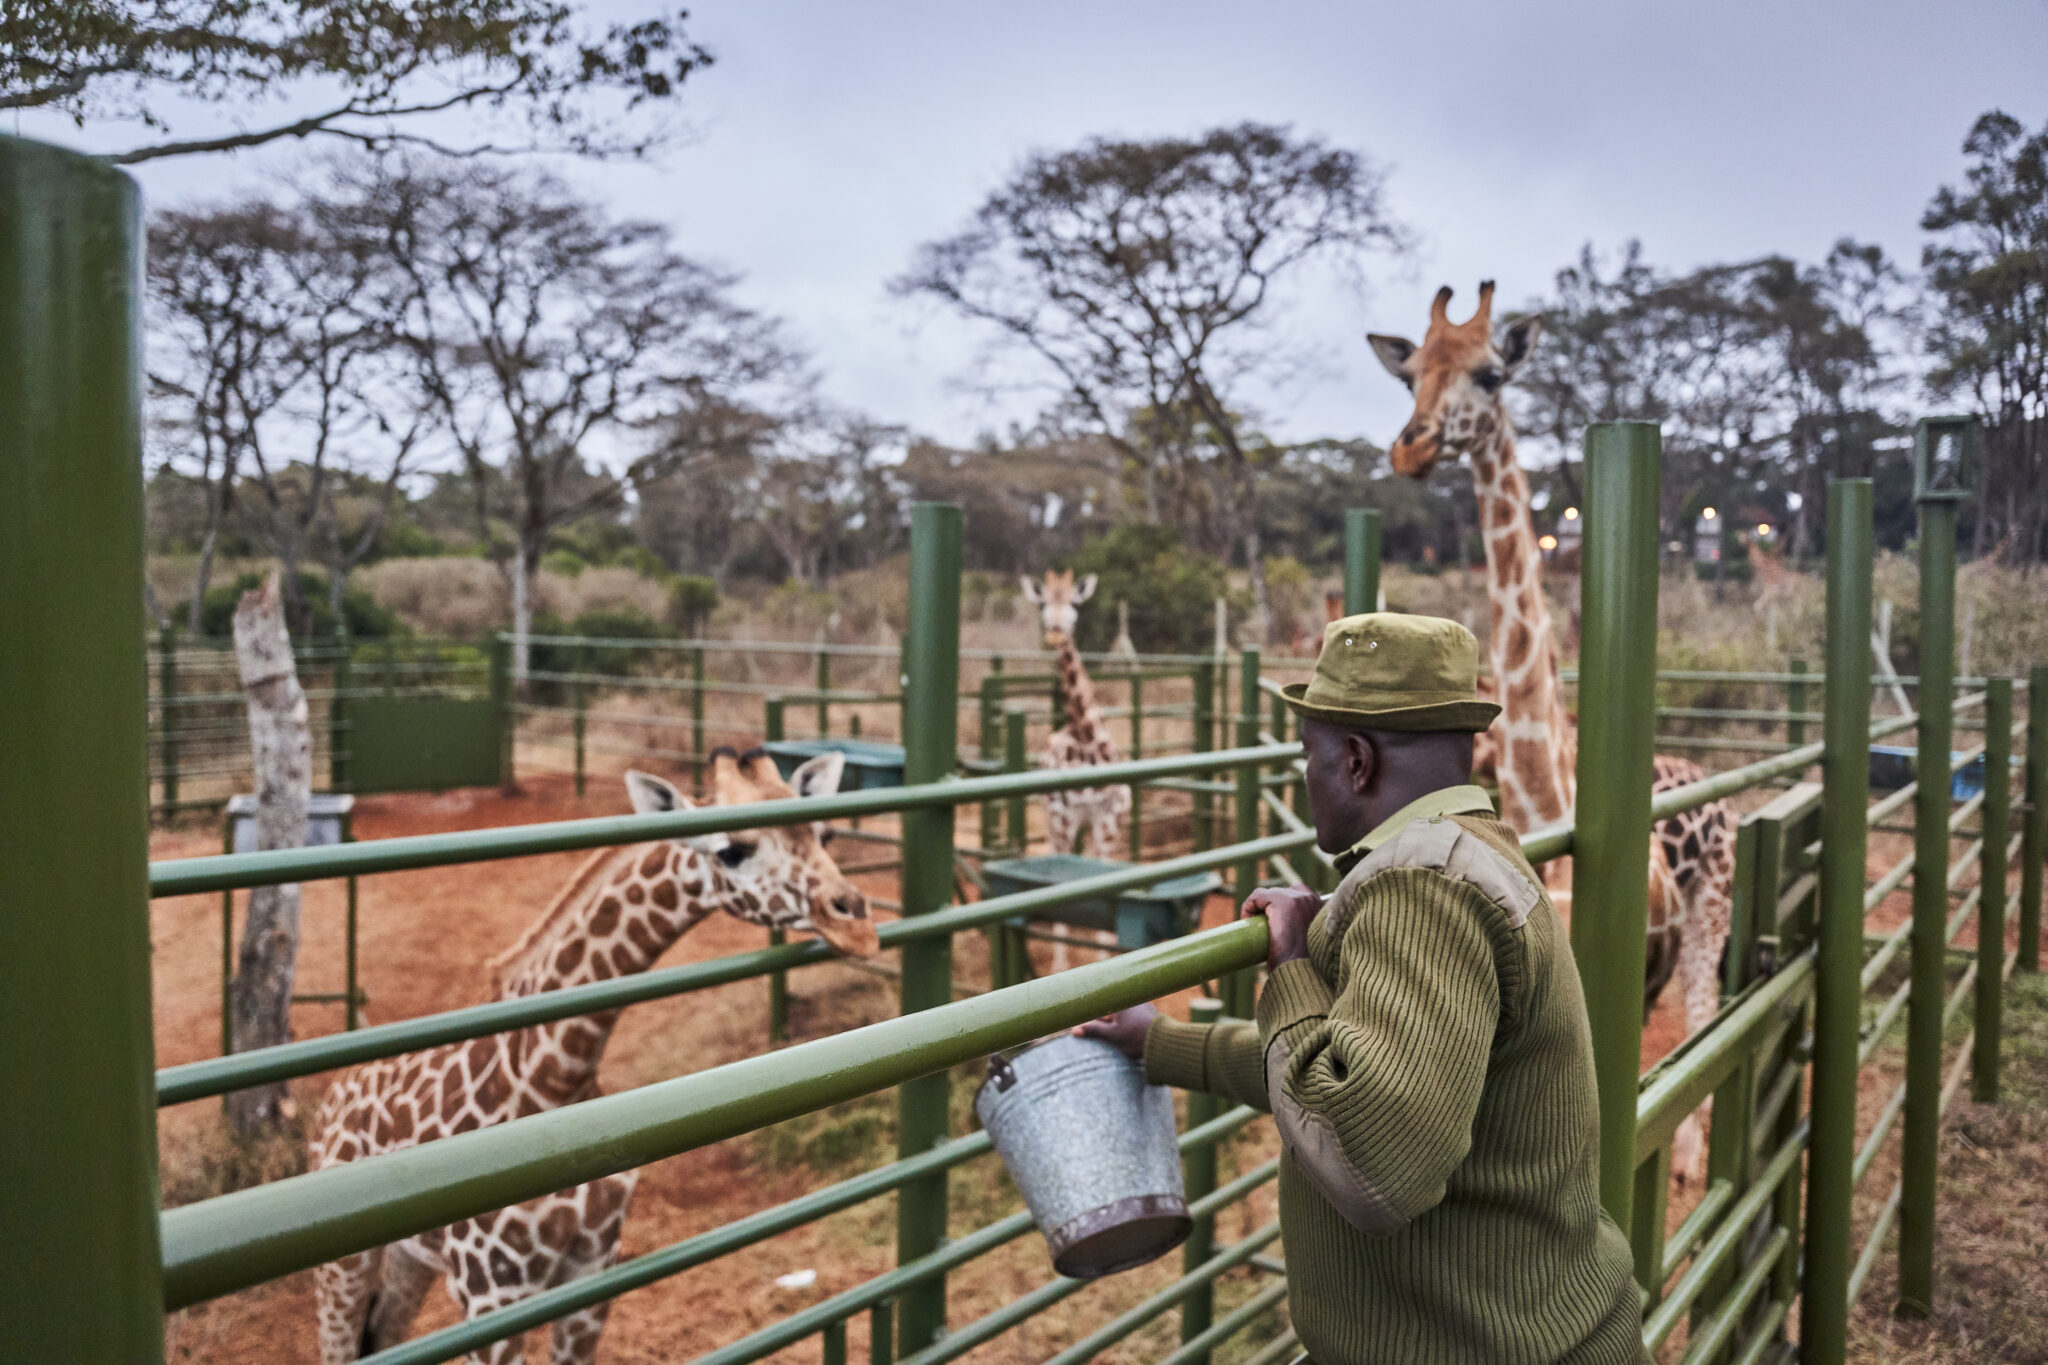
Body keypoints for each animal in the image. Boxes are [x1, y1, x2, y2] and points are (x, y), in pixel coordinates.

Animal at [310, 751, 876, 1363]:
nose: (858, 925)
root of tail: (331, 1100)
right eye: (732, 850)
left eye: (826, 833)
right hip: (342, 1268)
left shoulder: (592, 1277)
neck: (555, 1083)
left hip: (409, 1258)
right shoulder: (491, 1295)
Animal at [1368, 282, 1737, 1181]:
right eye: (1410, 377)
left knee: (1705, 1011)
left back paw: (1690, 1162)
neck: (1549, 801)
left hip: (1710, 912)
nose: (1412, 448)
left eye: (1492, 373)